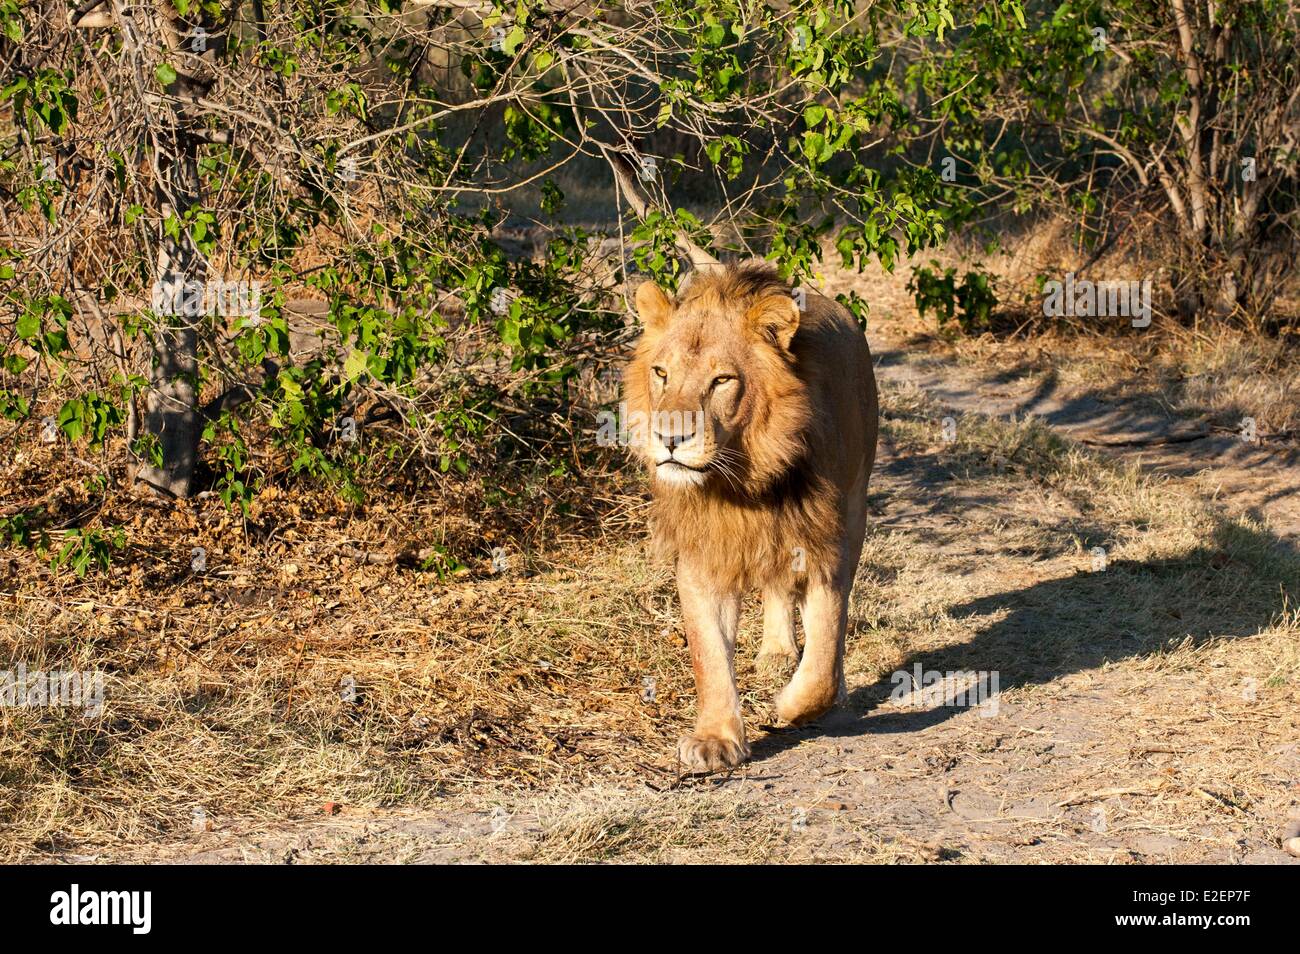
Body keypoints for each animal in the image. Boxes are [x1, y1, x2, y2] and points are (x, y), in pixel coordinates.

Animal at [624, 262, 878, 772]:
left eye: (722, 380)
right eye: (661, 373)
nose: (669, 438)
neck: (739, 482)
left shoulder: (825, 545)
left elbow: (823, 654)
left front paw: (792, 705)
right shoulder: (703, 554)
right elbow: (708, 653)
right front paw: (715, 739)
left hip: (856, 505)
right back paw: (777, 652)